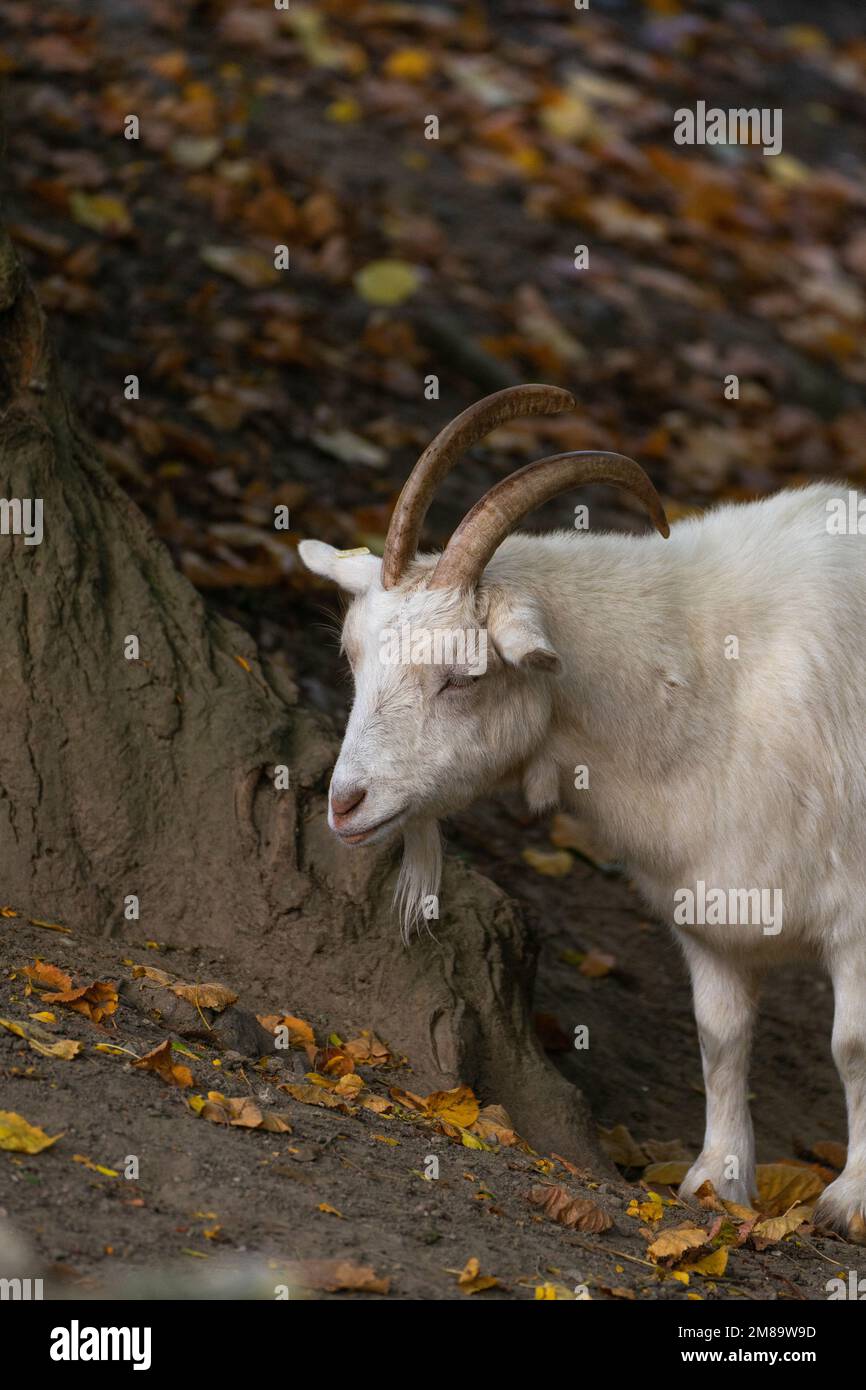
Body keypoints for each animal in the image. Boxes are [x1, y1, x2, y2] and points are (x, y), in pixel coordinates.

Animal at [299, 383, 866, 1243]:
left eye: (463, 677)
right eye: (353, 658)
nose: (346, 802)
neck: (714, 681)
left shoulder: (858, 918)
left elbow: (852, 1047)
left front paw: (852, 1201)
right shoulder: (707, 912)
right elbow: (720, 1038)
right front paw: (716, 1182)